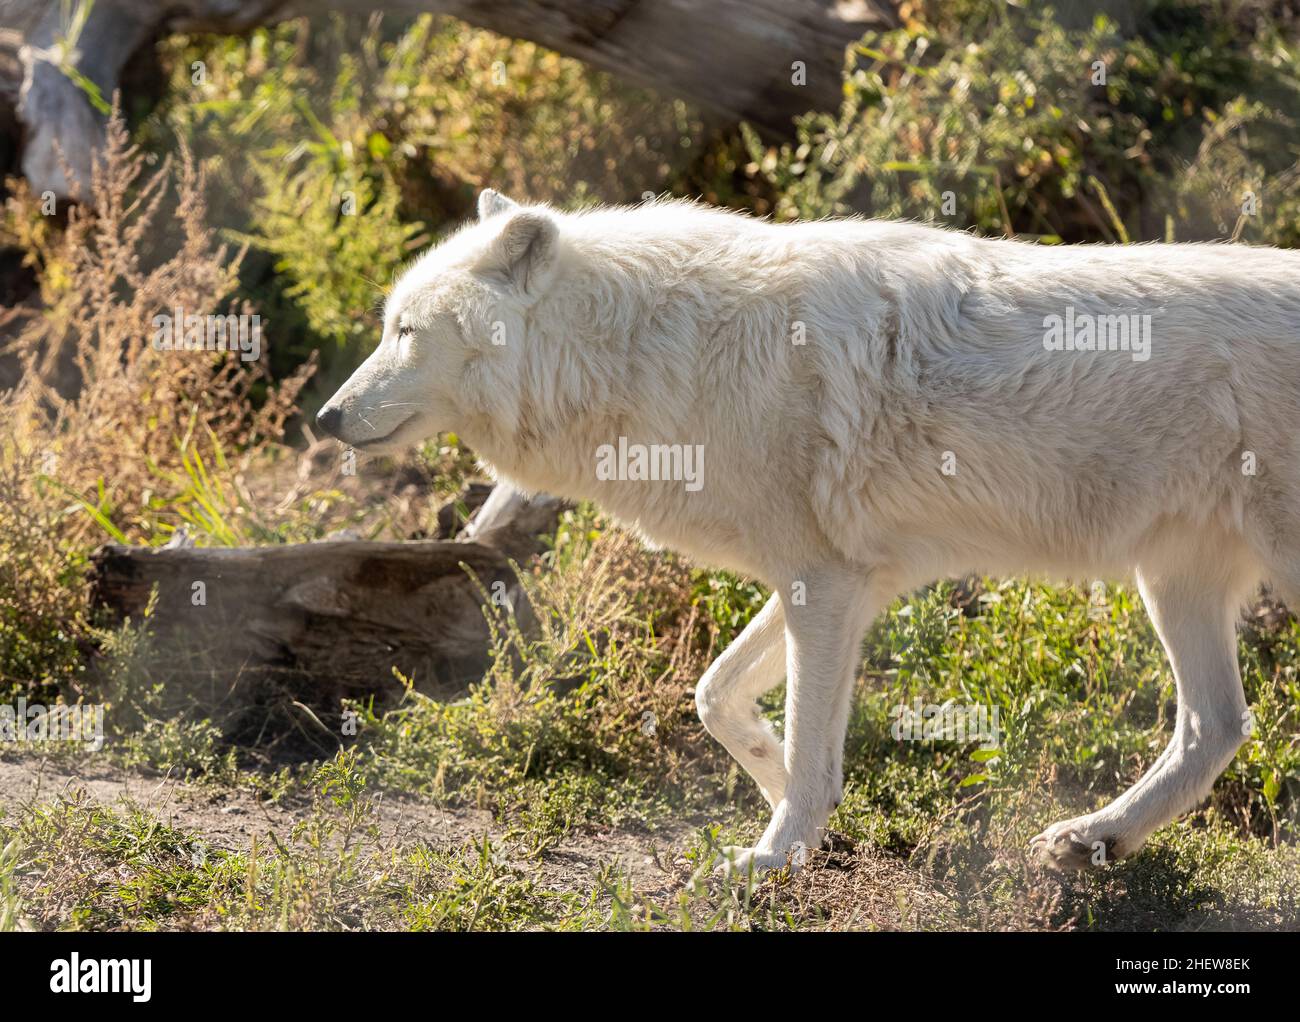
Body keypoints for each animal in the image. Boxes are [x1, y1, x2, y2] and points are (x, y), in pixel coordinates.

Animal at [317, 190, 1300, 873]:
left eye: (406, 333)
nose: (325, 418)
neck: (656, 351)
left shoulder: (821, 586)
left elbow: (797, 735)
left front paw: (771, 855)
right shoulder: (842, 581)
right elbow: (718, 697)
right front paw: (782, 791)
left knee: (1217, 725)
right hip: (1173, 585)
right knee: (1216, 727)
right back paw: (1095, 841)